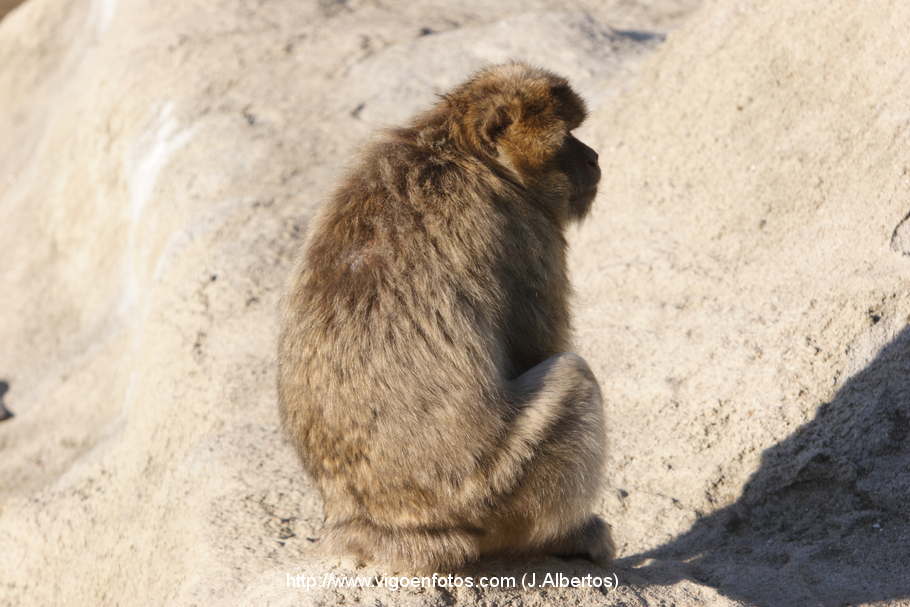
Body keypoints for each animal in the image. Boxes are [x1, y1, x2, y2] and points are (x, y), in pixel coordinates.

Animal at [277, 61, 611, 573]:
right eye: (566, 137)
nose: (593, 157)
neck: (458, 148)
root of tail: (374, 529)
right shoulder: (526, 231)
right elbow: (540, 348)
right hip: (498, 490)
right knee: (573, 377)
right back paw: (564, 535)